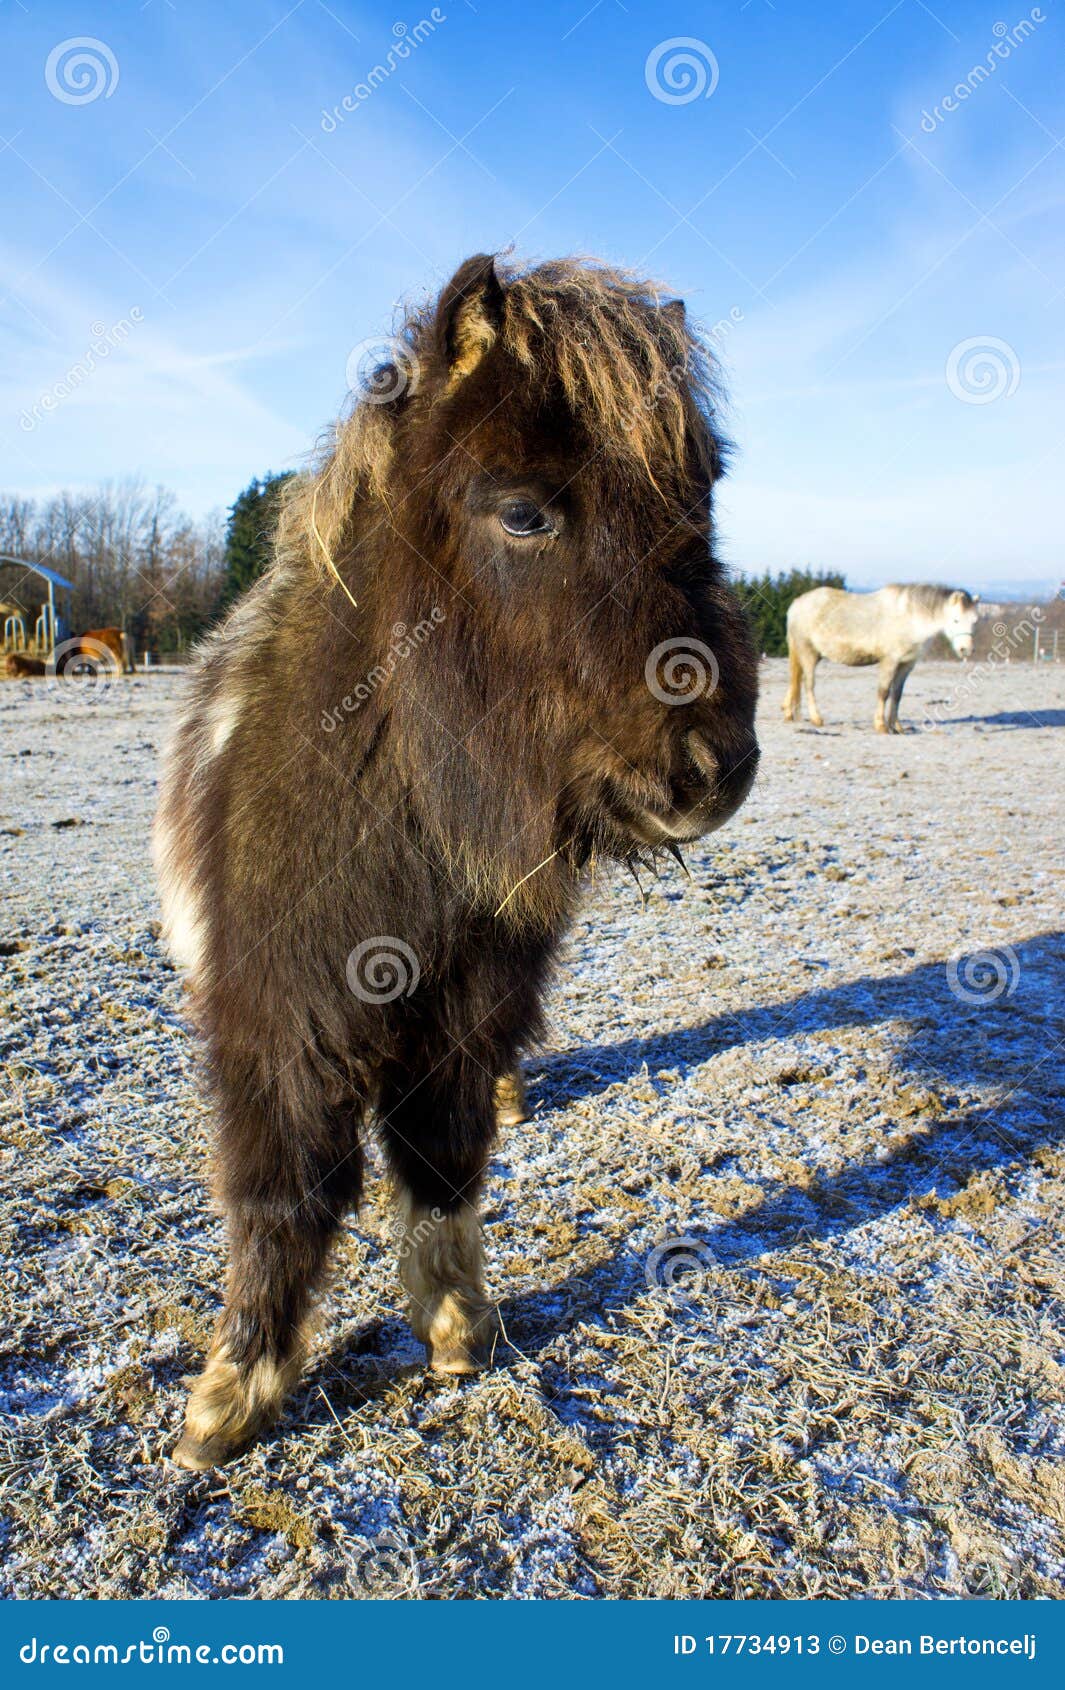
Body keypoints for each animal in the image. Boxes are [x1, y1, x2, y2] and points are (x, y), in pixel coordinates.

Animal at [153, 254, 760, 1469]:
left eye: (703, 497)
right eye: (521, 512)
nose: (715, 769)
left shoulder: (464, 1009)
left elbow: (443, 1158)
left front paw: (454, 1327)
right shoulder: (277, 1025)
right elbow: (280, 1193)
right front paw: (232, 1395)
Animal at [783, 584, 979, 732]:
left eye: (974, 621)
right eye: (955, 620)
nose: (965, 650)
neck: (909, 618)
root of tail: (797, 603)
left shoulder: (906, 665)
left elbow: (897, 694)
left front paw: (897, 726)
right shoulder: (889, 662)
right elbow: (884, 692)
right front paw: (881, 725)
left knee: (796, 681)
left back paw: (789, 713)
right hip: (808, 653)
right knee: (809, 684)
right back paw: (816, 719)